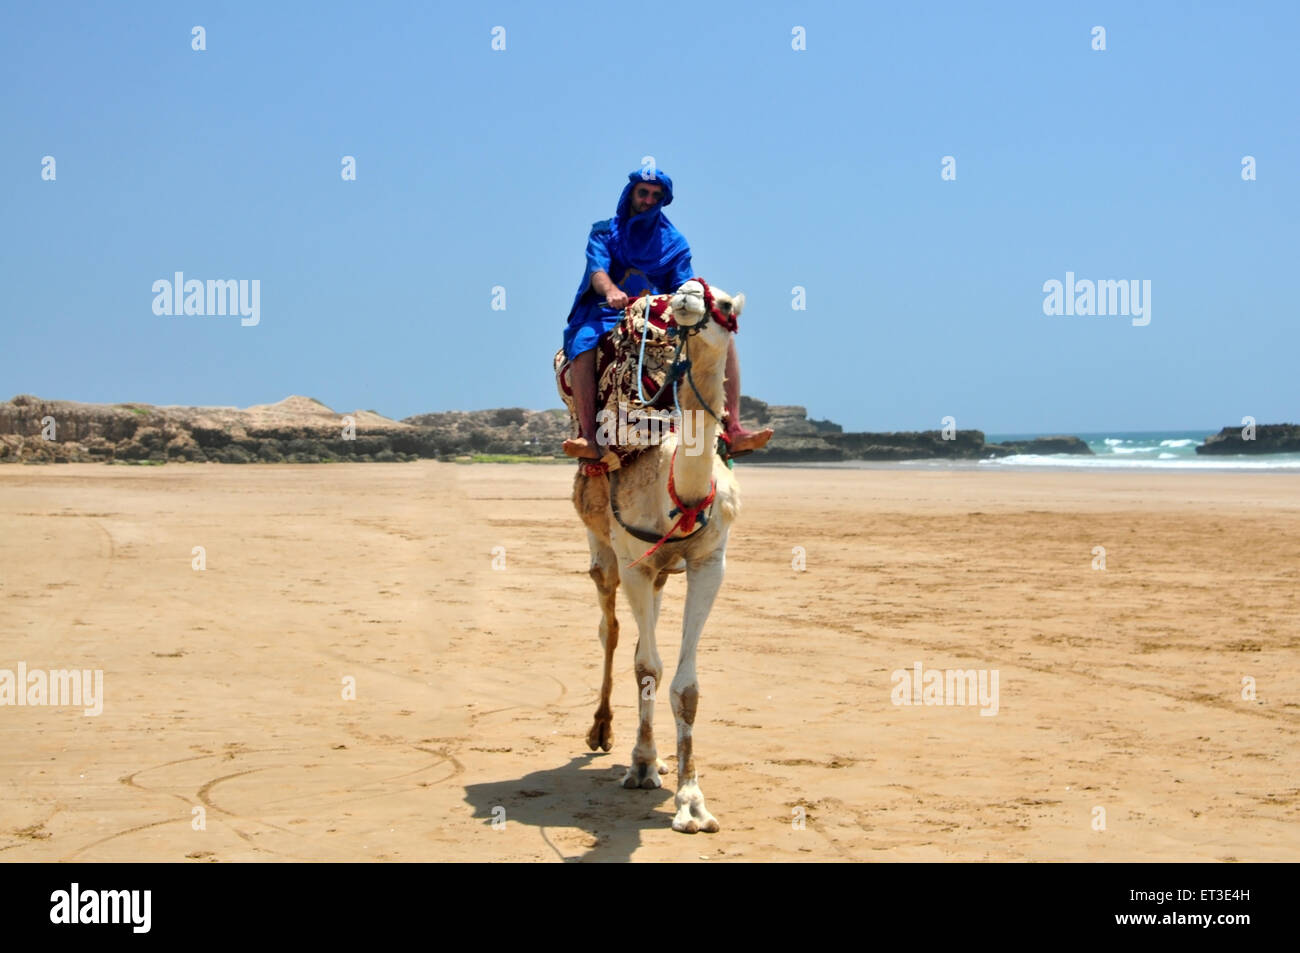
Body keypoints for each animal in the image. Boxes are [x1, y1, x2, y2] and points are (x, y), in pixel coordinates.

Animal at [568, 279, 742, 834]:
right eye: (684, 290)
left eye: (724, 304)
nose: (684, 296)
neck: (680, 496)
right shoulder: (636, 564)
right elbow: (647, 667)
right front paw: (641, 766)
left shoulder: (710, 564)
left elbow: (685, 686)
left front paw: (692, 801)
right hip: (605, 552)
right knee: (611, 628)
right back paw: (602, 733)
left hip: (664, 573)